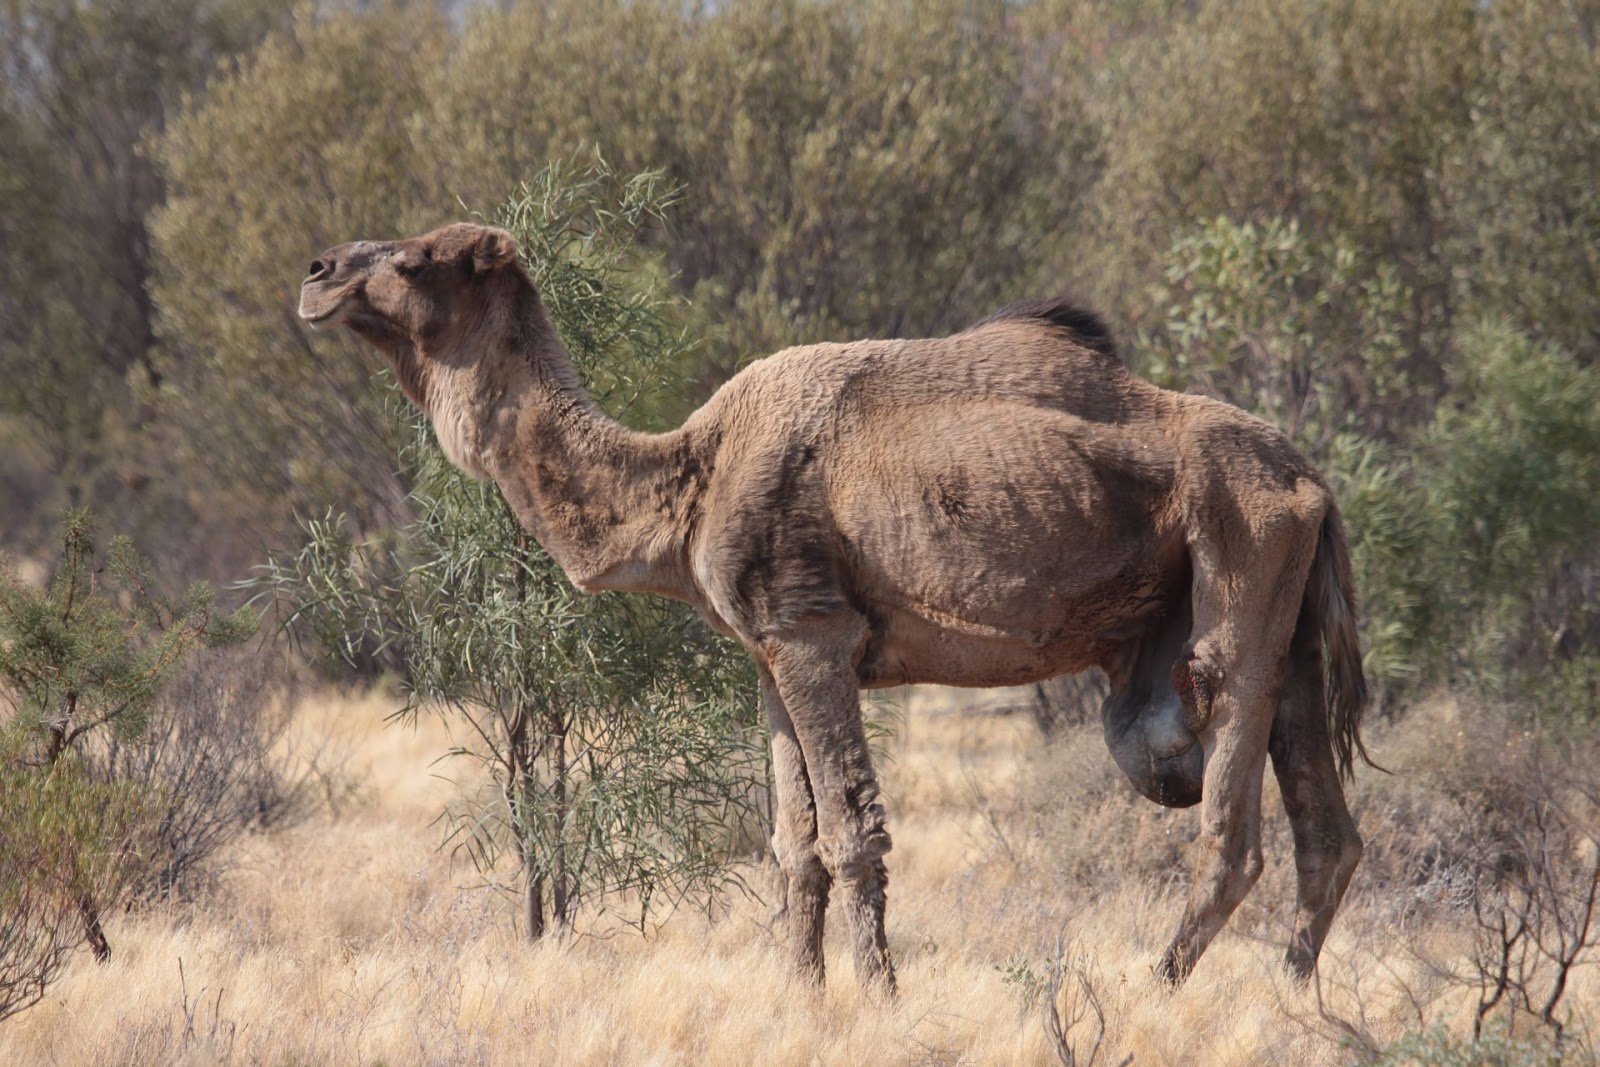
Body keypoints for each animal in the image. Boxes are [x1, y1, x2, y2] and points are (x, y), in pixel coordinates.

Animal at [298, 222, 1371, 994]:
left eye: (415, 257)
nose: (315, 271)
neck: (689, 478)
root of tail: (1312, 481)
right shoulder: (769, 654)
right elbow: (793, 844)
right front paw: (801, 994)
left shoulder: (814, 635)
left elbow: (854, 833)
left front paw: (880, 996)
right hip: (1292, 630)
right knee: (1328, 832)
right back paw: (1290, 1000)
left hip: (1240, 560)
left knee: (1233, 824)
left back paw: (1159, 991)